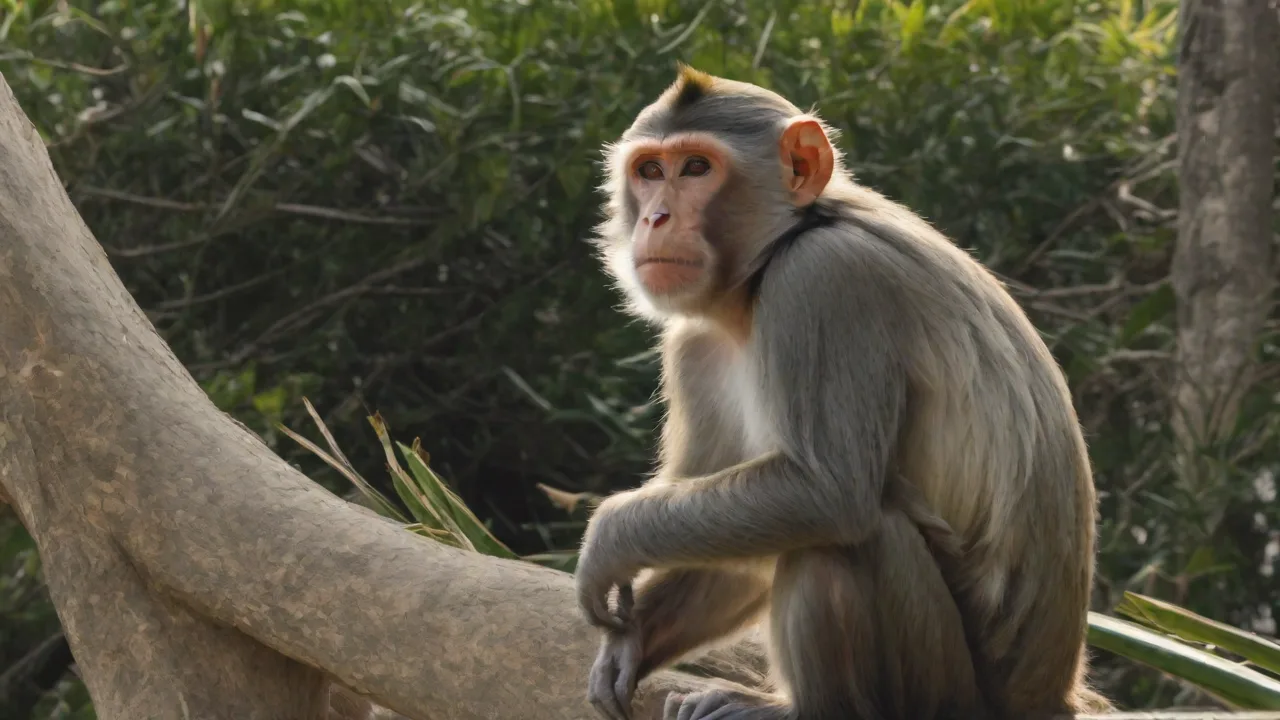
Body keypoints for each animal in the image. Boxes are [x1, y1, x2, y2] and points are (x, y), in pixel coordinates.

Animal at [573, 65, 1109, 720]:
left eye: (696, 168)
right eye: (650, 171)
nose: (655, 219)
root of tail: (1051, 696)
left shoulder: (824, 279)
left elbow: (824, 493)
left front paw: (609, 540)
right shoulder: (696, 347)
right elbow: (735, 555)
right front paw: (632, 641)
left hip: (947, 690)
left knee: (843, 538)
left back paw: (795, 708)